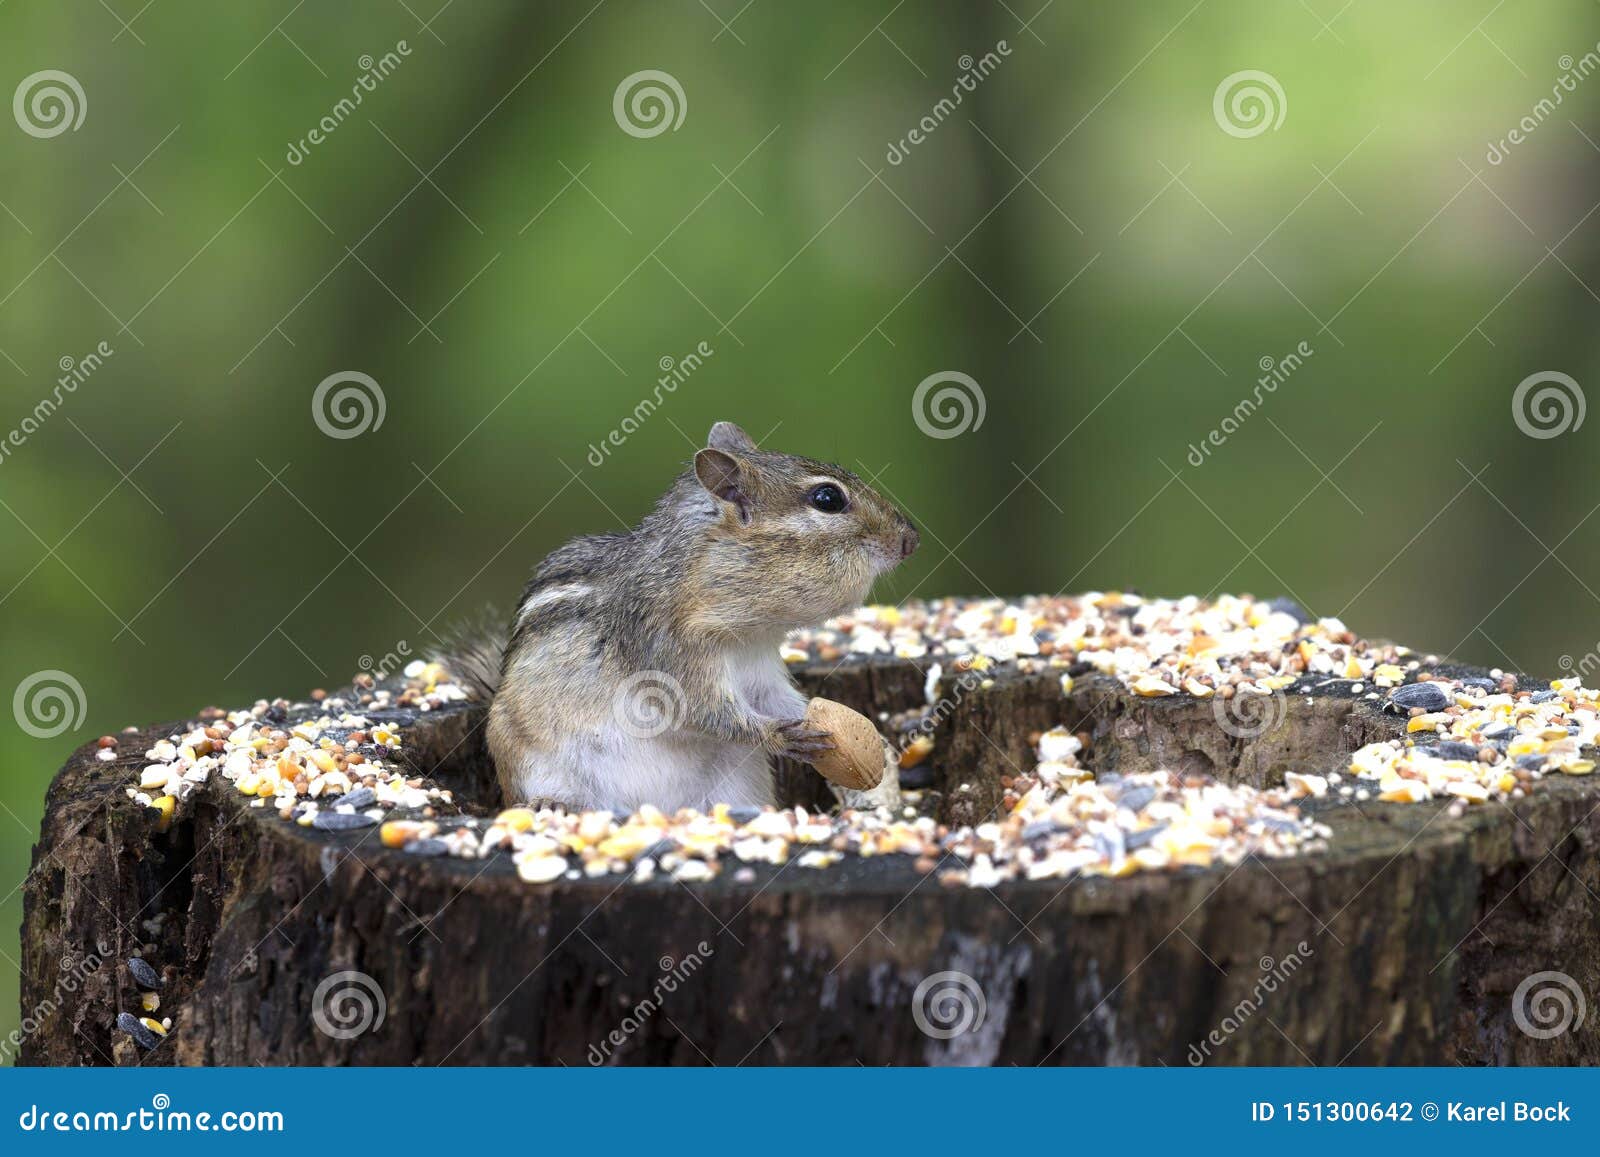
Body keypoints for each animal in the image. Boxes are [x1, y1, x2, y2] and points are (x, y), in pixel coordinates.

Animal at [438, 421, 919, 814]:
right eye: (828, 498)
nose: (910, 539)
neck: (747, 630)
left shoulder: (760, 671)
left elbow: (780, 702)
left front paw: (872, 740)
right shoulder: (670, 653)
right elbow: (708, 712)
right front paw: (783, 737)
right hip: (524, 759)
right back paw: (549, 804)